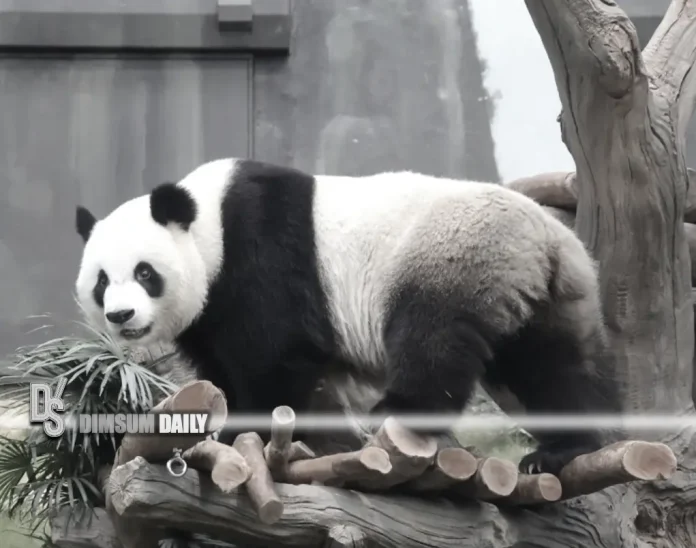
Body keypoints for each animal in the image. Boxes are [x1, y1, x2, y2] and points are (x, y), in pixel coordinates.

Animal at [73, 158, 620, 476]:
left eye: (145, 272)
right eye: (101, 280)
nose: (122, 315)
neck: (210, 224)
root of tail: (552, 242)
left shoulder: (261, 253)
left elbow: (278, 356)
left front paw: (245, 432)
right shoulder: (212, 312)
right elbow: (221, 369)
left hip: (458, 258)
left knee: (433, 340)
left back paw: (398, 410)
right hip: (534, 298)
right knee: (547, 368)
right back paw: (562, 448)